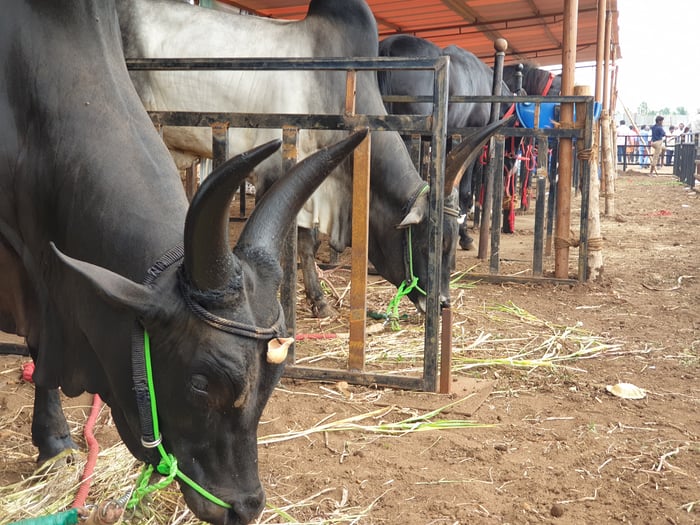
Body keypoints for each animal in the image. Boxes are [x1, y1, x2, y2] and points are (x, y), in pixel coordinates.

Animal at [116, 0, 508, 318]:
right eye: (427, 243)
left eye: (451, 245)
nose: (441, 303)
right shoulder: (275, 176)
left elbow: (306, 244)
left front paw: (319, 301)